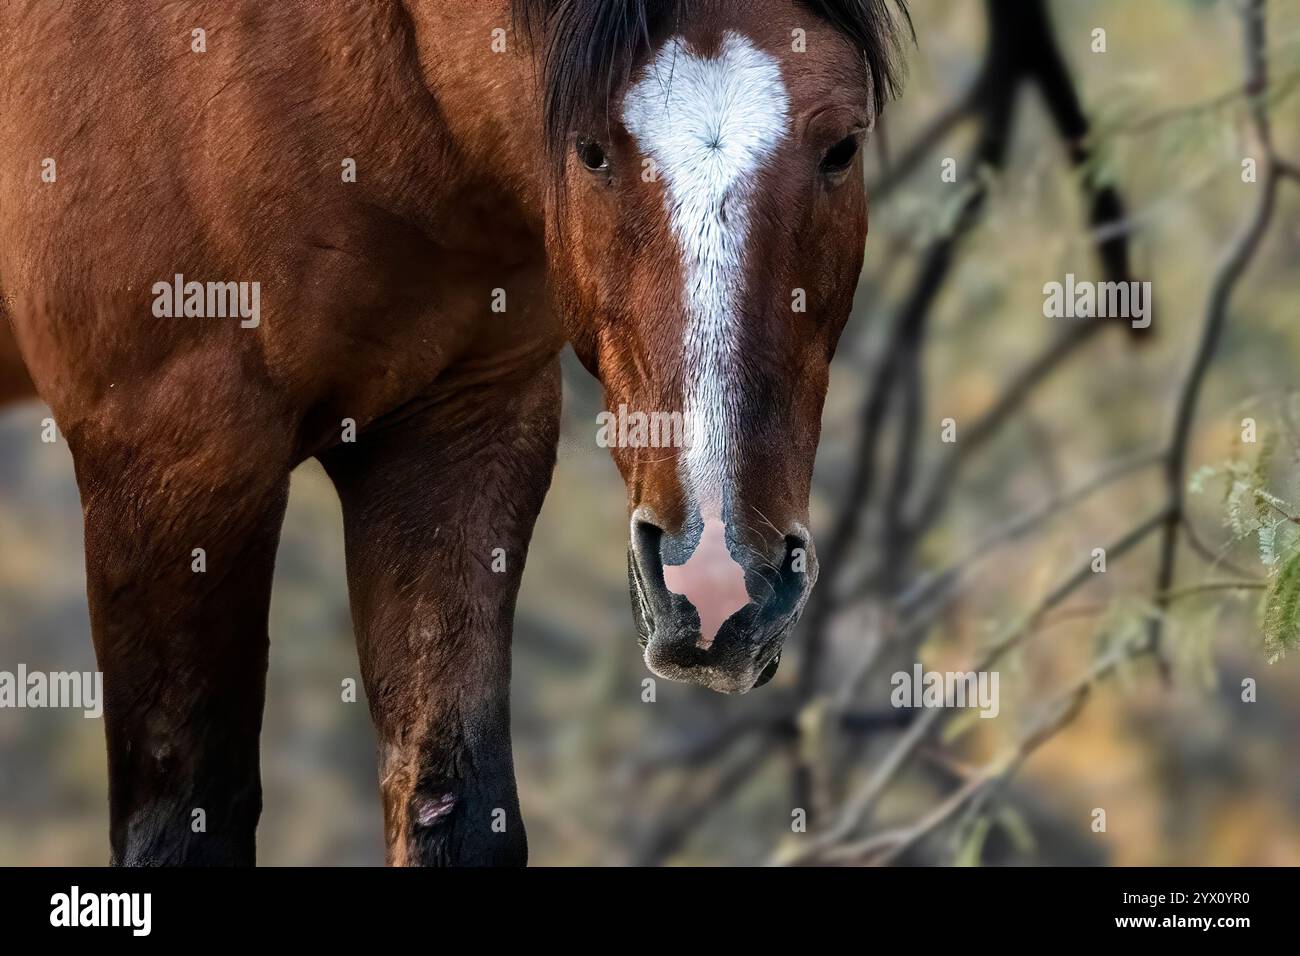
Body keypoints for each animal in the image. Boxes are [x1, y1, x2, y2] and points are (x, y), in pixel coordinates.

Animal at [0, 0, 908, 865]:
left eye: (841, 147)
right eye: (590, 151)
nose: (720, 585)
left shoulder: (459, 434)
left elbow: (454, 809)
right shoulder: (172, 454)